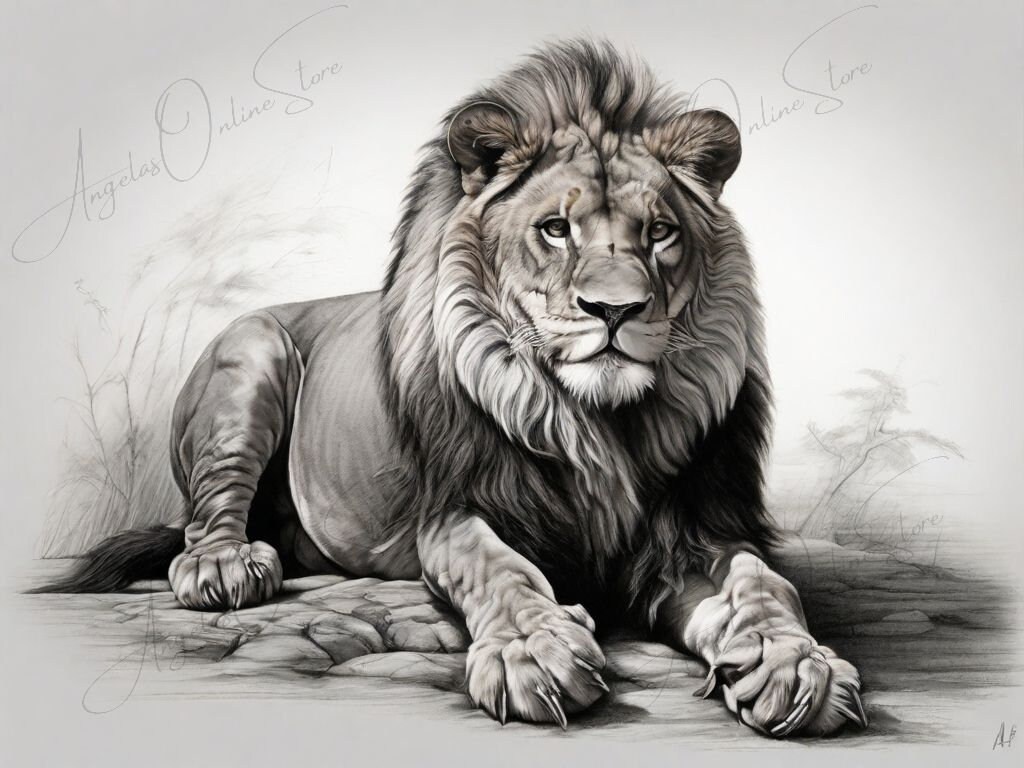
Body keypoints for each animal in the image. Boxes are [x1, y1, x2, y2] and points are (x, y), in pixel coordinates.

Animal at [40, 40, 866, 736]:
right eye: (556, 229)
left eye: (660, 232)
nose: (616, 310)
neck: (596, 422)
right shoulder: (455, 509)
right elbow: (498, 568)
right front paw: (535, 652)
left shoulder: (699, 527)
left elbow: (763, 585)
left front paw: (797, 664)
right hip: (252, 355)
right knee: (205, 519)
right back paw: (225, 566)